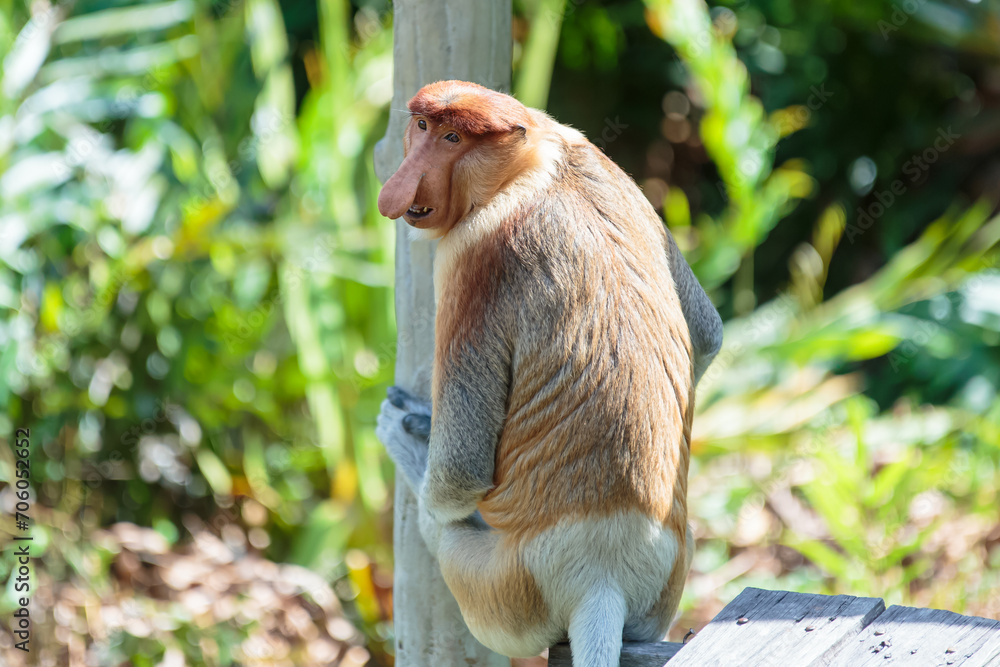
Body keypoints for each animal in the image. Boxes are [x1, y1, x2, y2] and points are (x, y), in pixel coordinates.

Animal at [375, 80, 722, 666]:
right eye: (421, 127)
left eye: (452, 139)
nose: (400, 188)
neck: (532, 169)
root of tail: (602, 578)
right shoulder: (602, 161)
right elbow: (707, 332)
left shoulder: (473, 255)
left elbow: (462, 471)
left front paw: (414, 435)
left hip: (505, 587)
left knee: (446, 532)